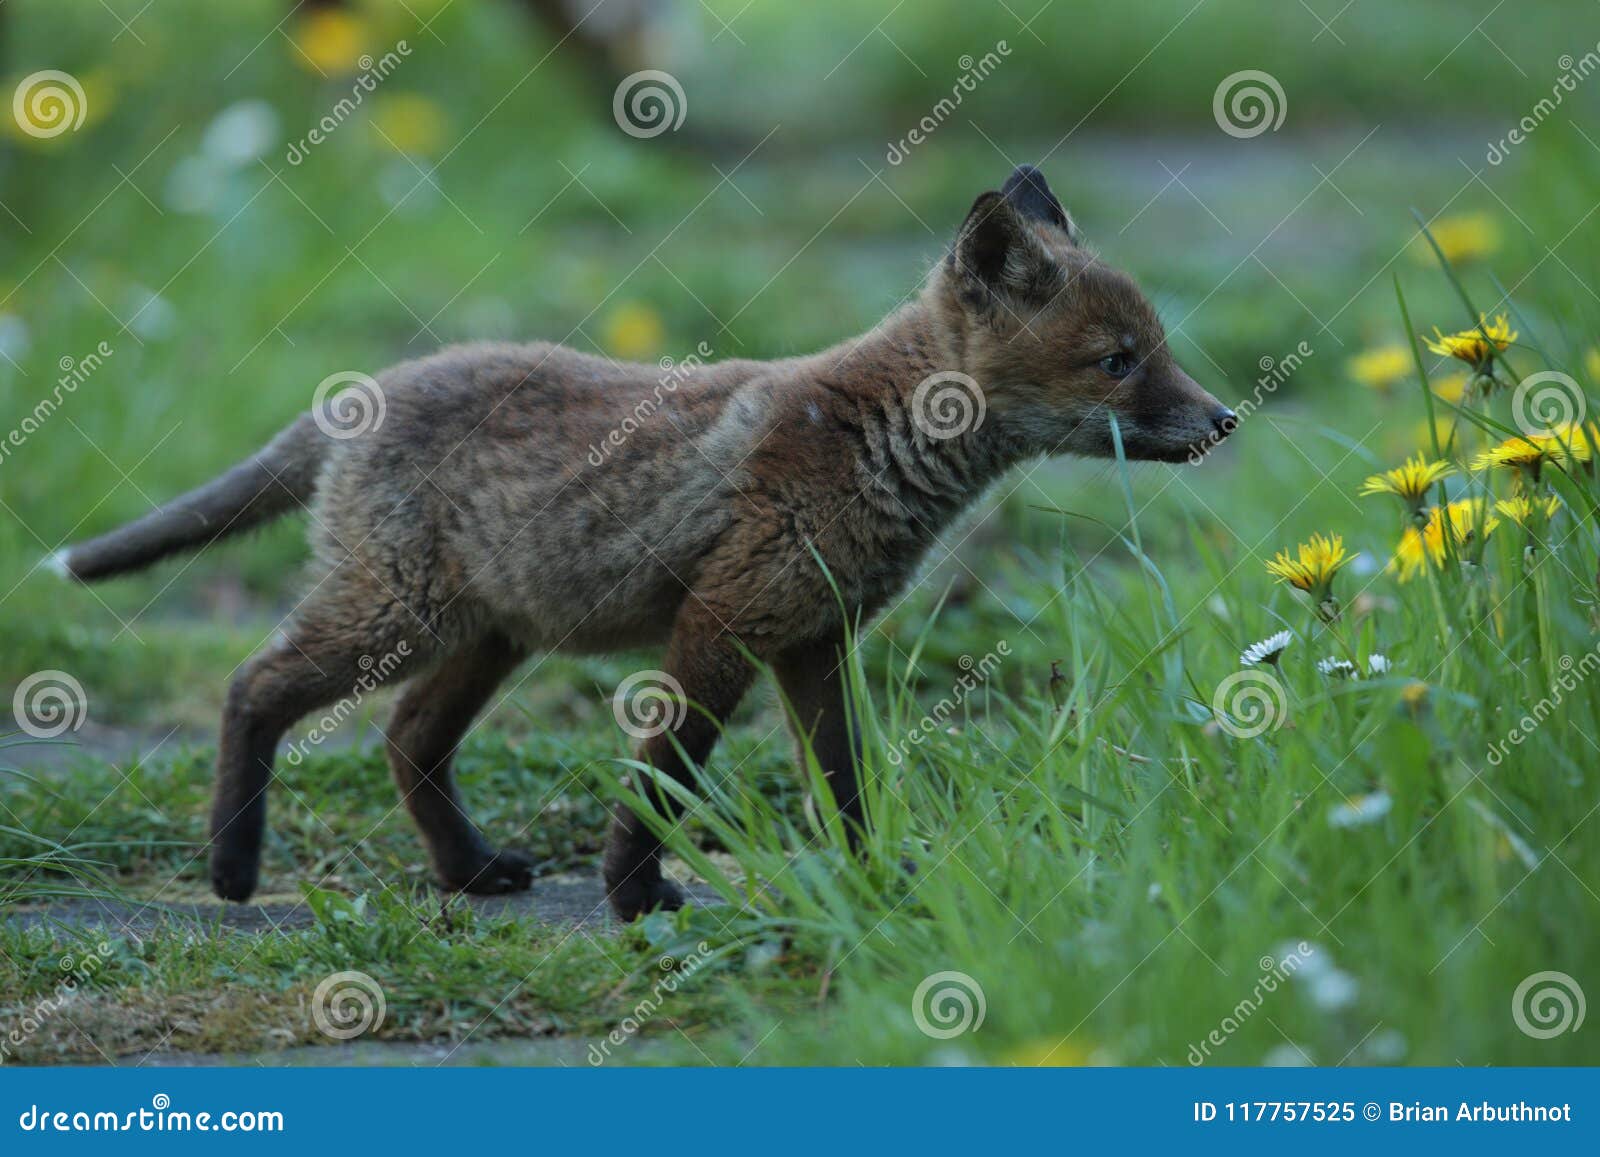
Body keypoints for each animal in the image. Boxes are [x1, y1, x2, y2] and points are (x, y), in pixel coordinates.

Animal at [56, 165, 1235, 921]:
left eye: (1159, 349)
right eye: (1120, 361)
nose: (1224, 421)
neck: (874, 437)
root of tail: (368, 388)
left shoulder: (813, 640)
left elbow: (844, 785)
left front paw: (867, 884)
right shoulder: (725, 620)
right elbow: (664, 779)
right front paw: (633, 896)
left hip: (491, 636)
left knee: (407, 738)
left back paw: (468, 871)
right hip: (397, 614)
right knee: (253, 685)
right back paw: (233, 866)